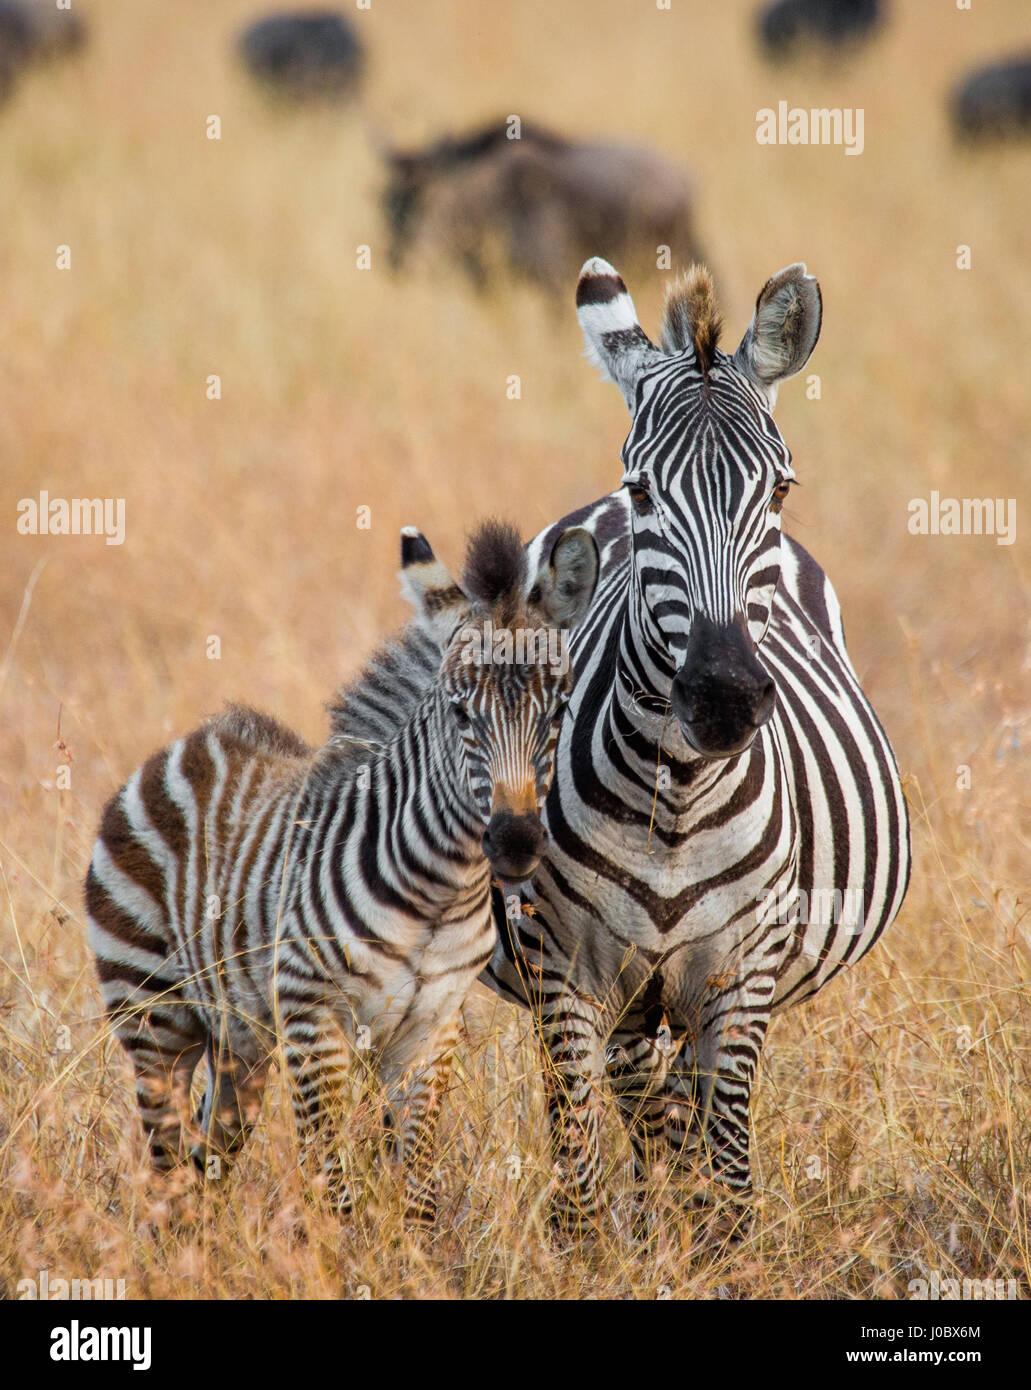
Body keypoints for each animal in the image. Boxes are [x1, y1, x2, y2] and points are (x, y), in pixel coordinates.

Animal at [85, 519, 599, 1224]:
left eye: (559, 709)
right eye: (460, 712)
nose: (516, 840)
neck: (440, 893)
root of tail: (191, 741)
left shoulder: (432, 1029)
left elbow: (418, 1189)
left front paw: (409, 1249)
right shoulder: (313, 1016)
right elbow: (337, 1182)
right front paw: (345, 1250)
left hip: (238, 1038)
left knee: (208, 1154)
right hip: (151, 1009)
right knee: (166, 1166)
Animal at [332, 259, 910, 1238]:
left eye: (780, 490)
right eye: (645, 493)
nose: (721, 696)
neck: (675, 796)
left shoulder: (739, 978)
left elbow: (732, 1170)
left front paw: (719, 1250)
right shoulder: (564, 971)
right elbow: (575, 1174)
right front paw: (607, 1247)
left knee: (672, 1109)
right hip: (628, 996)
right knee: (643, 1103)